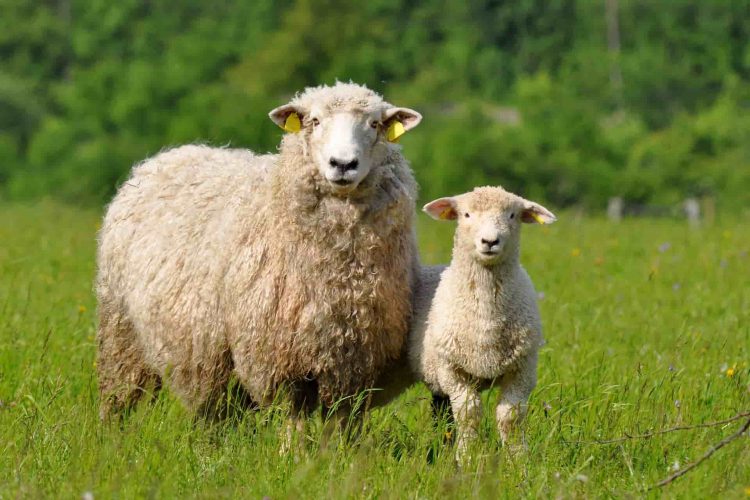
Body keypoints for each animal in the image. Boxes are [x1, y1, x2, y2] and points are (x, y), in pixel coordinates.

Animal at [96, 82, 423, 431]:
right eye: (315, 121)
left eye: (374, 124)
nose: (343, 164)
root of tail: (165, 156)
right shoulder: (281, 361)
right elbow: (295, 424)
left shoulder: (353, 364)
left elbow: (341, 426)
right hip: (120, 330)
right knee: (118, 399)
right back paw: (111, 437)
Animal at [373, 186, 556, 457]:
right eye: (467, 214)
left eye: (512, 215)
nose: (490, 241)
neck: (487, 320)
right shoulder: (453, 370)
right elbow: (469, 414)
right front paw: (467, 456)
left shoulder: (523, 369)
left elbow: (510, 417)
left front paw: (518, 459)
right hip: (438, 371)